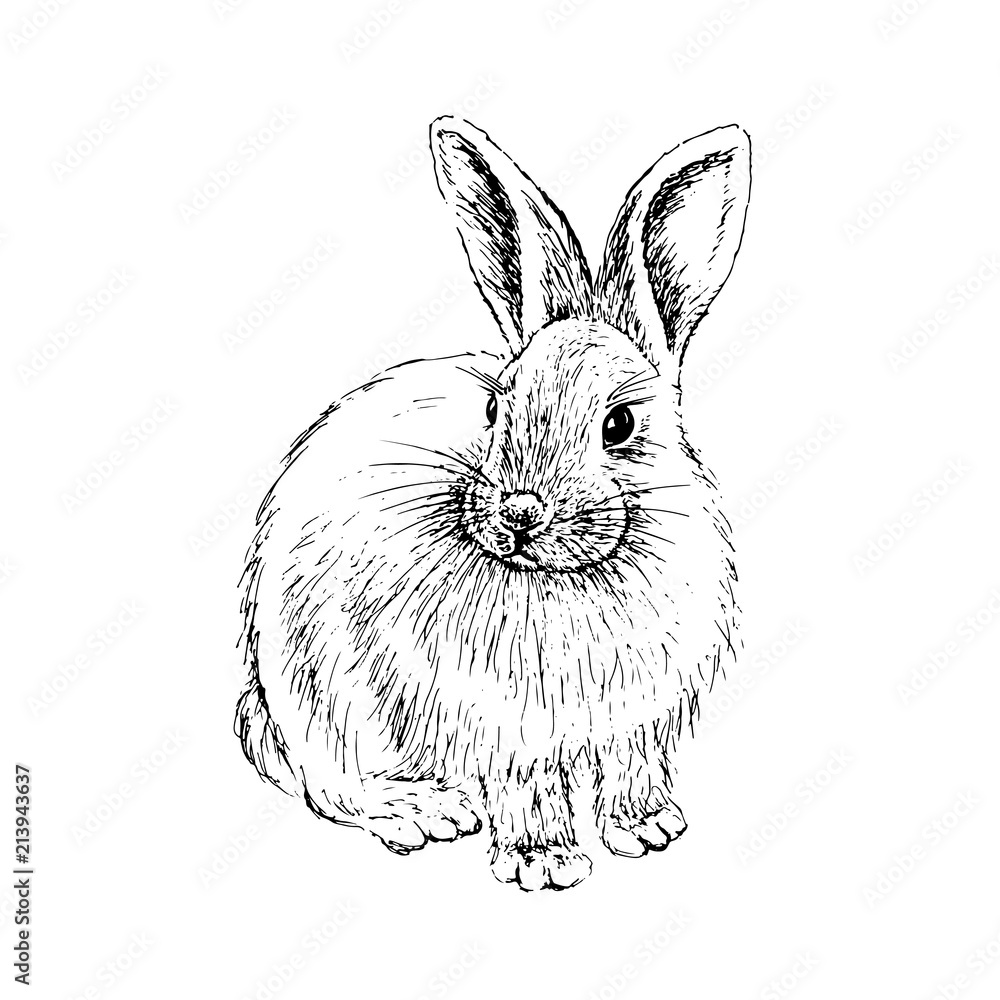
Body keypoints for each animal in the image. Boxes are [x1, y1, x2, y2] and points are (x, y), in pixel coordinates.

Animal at [235, 115, 750, 891]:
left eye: (620, 424)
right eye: (495, 410)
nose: (518, 514)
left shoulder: (634, 721)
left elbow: (629, 766)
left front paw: (648, 829)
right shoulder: (501, 724)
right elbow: (525, 788)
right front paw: (544, 863)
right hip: (323, 696)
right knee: (331, 784)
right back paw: (421, 811)